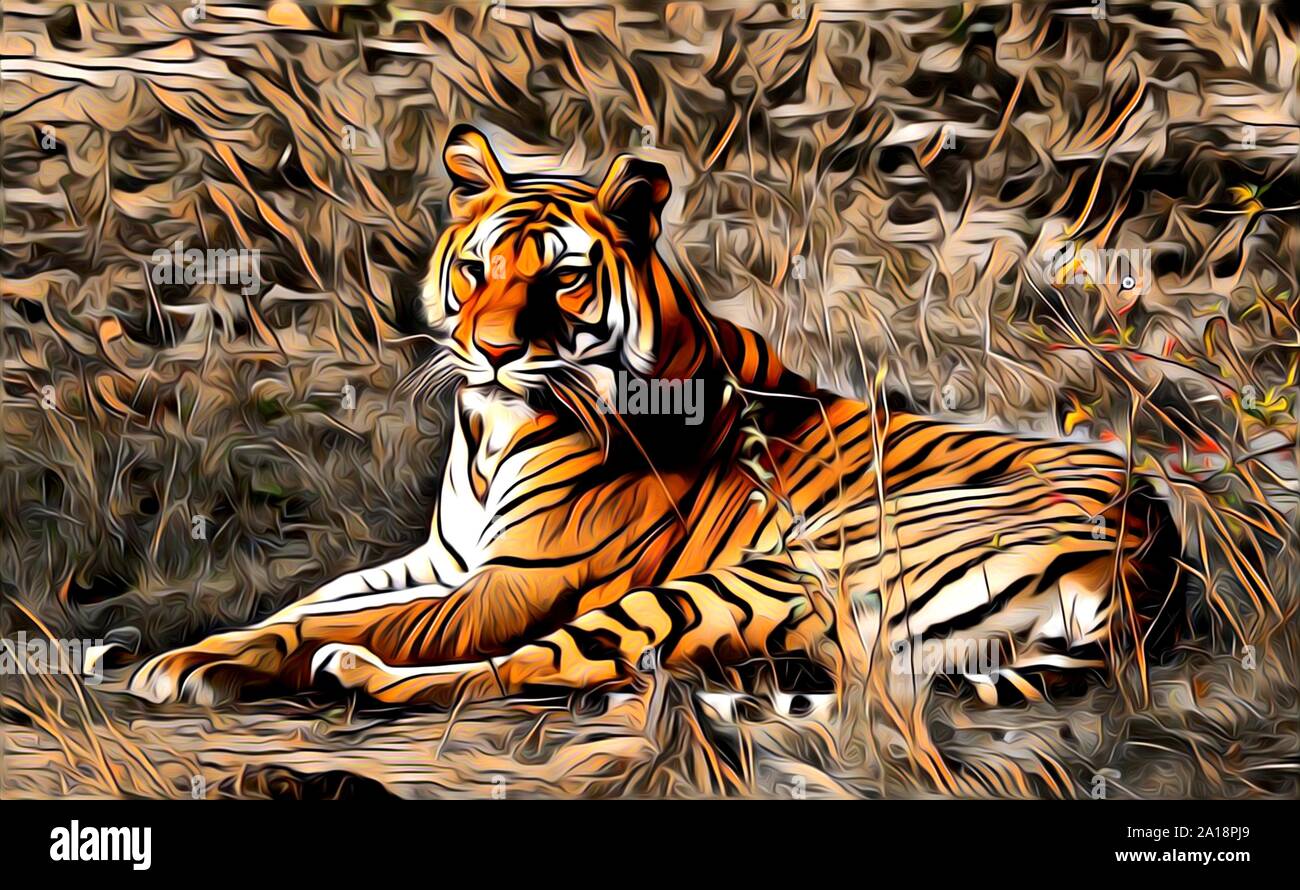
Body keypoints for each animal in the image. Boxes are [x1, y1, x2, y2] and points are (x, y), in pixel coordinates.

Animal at [130, 125, 1182, 721]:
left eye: (562, 276)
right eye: (476, 269)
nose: (494, 351)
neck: (489, 431)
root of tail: (1142, 550)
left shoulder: (512, 583)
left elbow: (357, 620)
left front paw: (186, 664)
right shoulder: (445, 559)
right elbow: (312, 600)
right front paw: (175, 649)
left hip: (760, 578)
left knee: (520, 671)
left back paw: (354, 677)